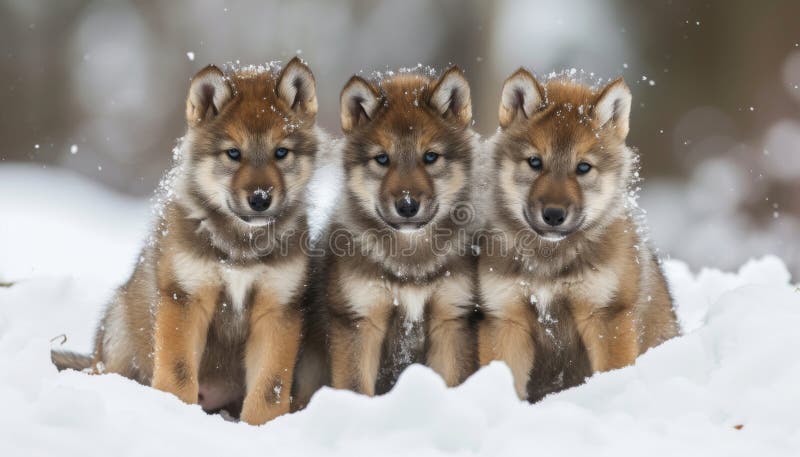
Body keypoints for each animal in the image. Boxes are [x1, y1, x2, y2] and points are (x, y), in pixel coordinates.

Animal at [51, 57, 323, 425]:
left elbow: (269, 390)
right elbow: (178, 375)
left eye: (281, 152)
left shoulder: (278, 308)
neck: (240, 248)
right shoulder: (186, 297)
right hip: (119, 326)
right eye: (233, 153)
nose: (260, 199)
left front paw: (260, 427)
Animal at [477, 68, 679, 402]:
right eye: (535, 162)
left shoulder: (605, 314)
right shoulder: (505, 317)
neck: (549, 262)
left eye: (583, 167)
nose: (553, 215)